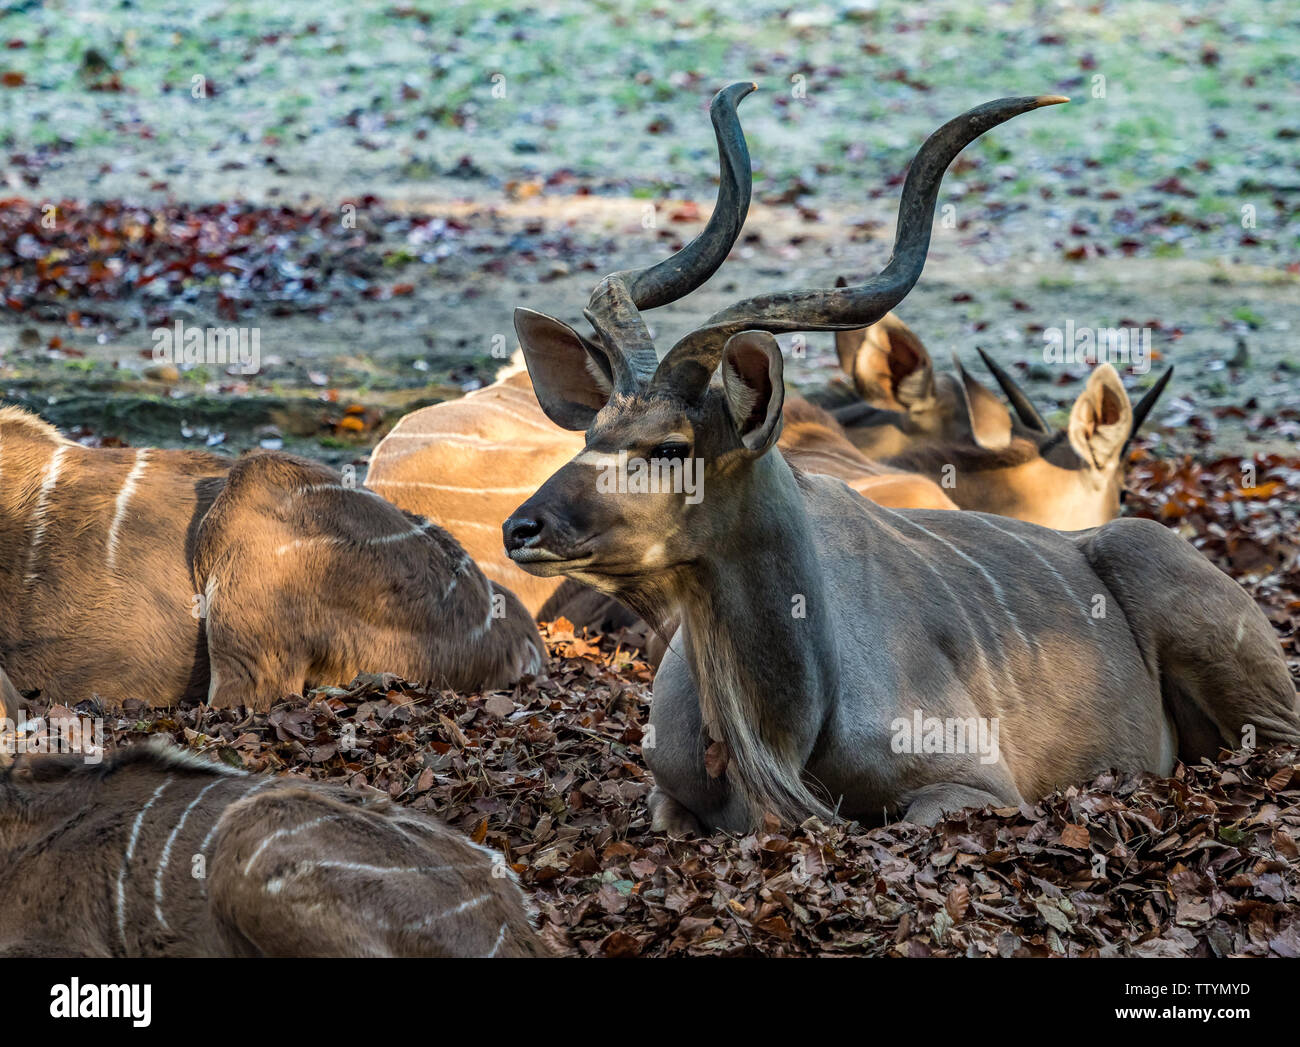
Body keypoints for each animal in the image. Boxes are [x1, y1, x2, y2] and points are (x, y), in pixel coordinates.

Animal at [501, 85, 1300, 834]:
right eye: (591, 435)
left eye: (671, 447)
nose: (521, 528)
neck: (781, 738)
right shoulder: (667, 795)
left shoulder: (975, 787)